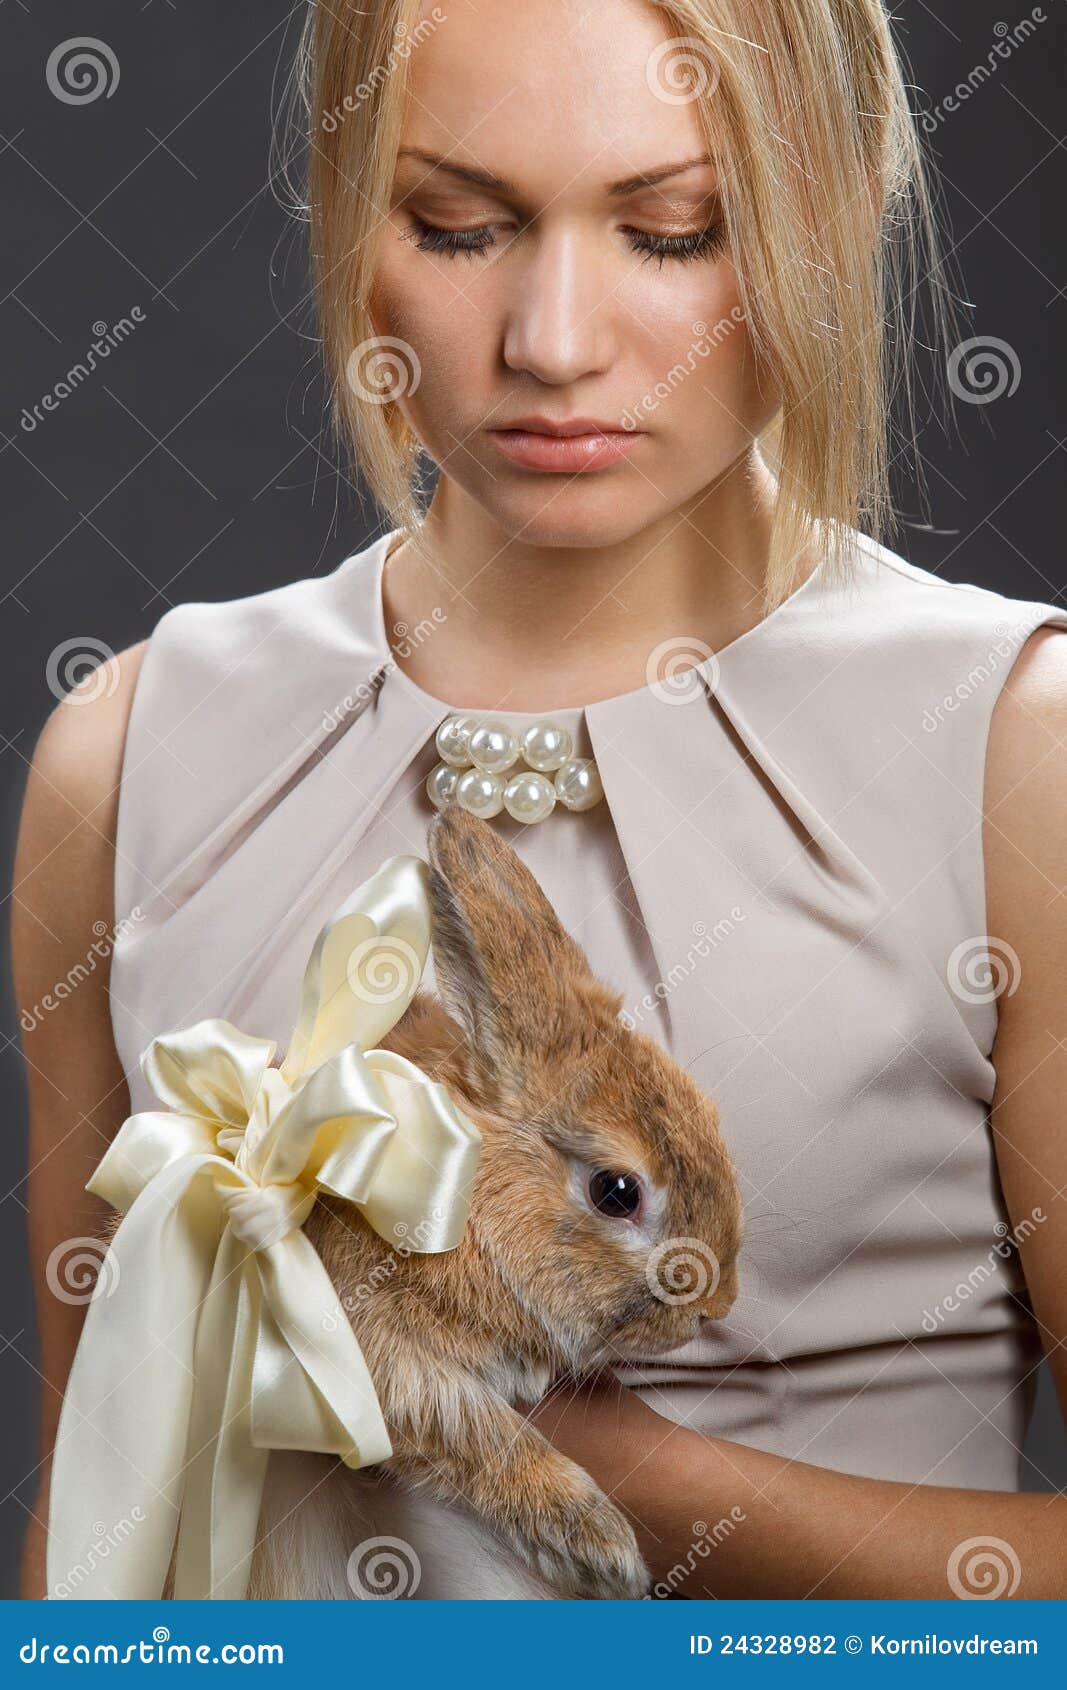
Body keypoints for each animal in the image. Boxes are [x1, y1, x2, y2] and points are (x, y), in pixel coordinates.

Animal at [156, 805, 743, 1600]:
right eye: (617, 1192)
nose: (718, 1305)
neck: (466, 1188)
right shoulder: (361, 1356)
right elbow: (473, 1435)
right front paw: (600, 1547)